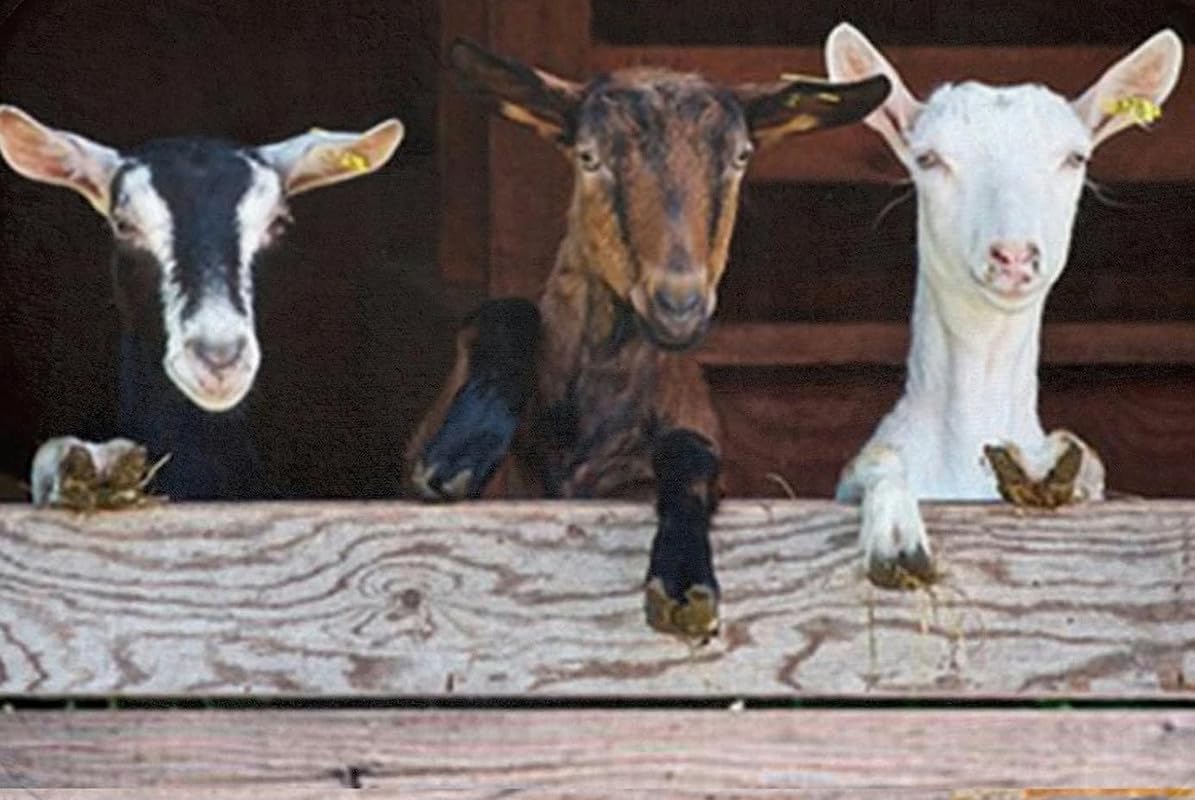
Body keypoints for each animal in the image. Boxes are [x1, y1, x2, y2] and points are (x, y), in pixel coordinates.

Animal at [407, 39, 890, 639]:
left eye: (740, 157)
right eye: (588, 157)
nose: (678, 304)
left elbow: (690, 453)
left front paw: (684, 581)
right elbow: (506, 311)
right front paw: (460, 452)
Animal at [824, 24, 1184, 584]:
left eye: (1075, 158)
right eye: (928, 158)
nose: (1013, 255)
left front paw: (1053, 467)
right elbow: (878, 460)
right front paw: (897, 539)